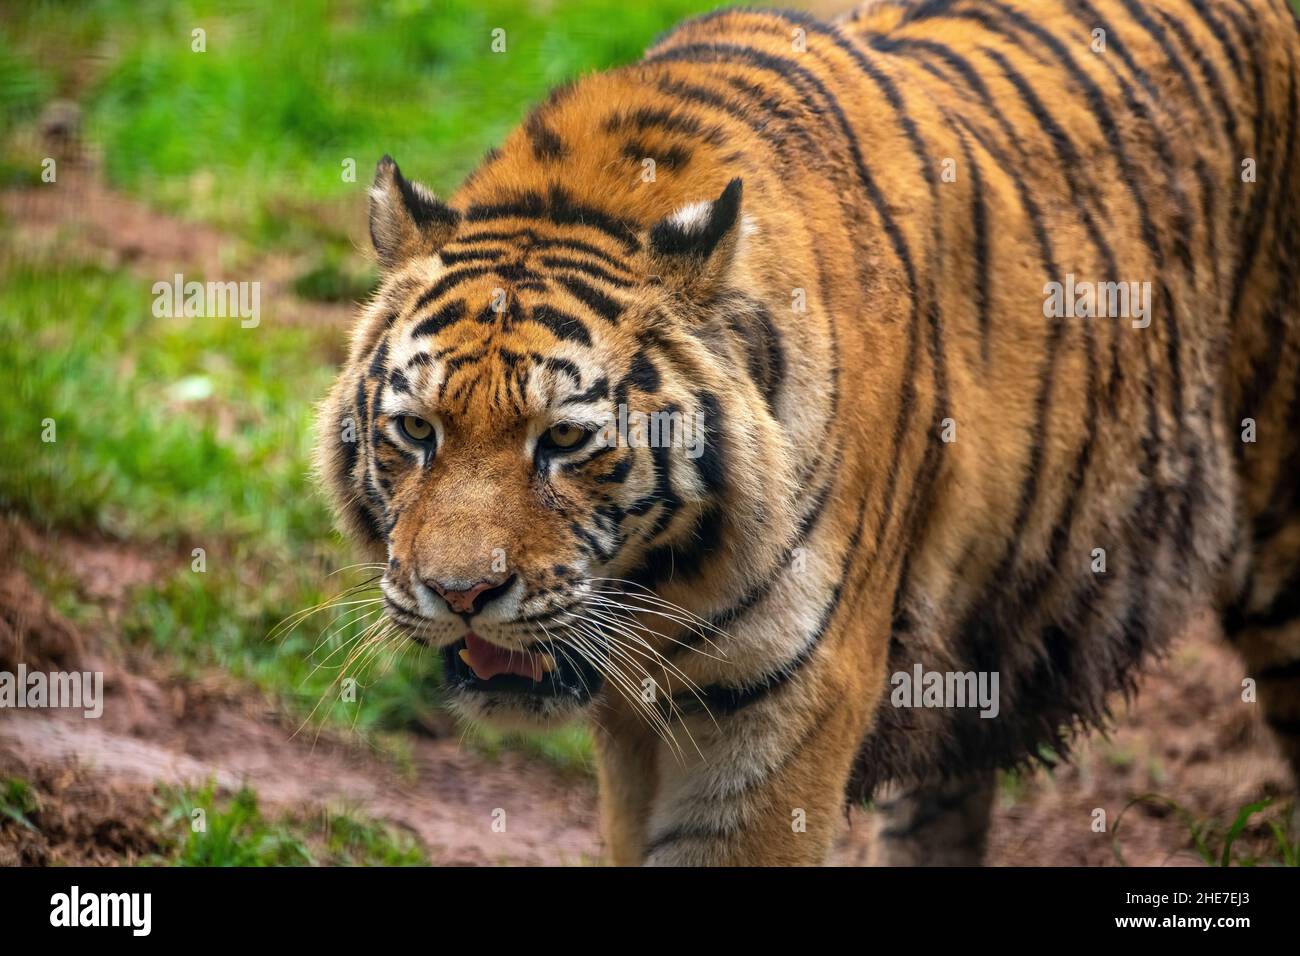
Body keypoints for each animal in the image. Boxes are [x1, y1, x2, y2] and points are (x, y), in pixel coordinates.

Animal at [314, 0, 1300, 866]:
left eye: (561, 441)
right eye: (416, 431)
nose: (460, 596)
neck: (663, 592)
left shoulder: (787, 705)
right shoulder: (636, 731)